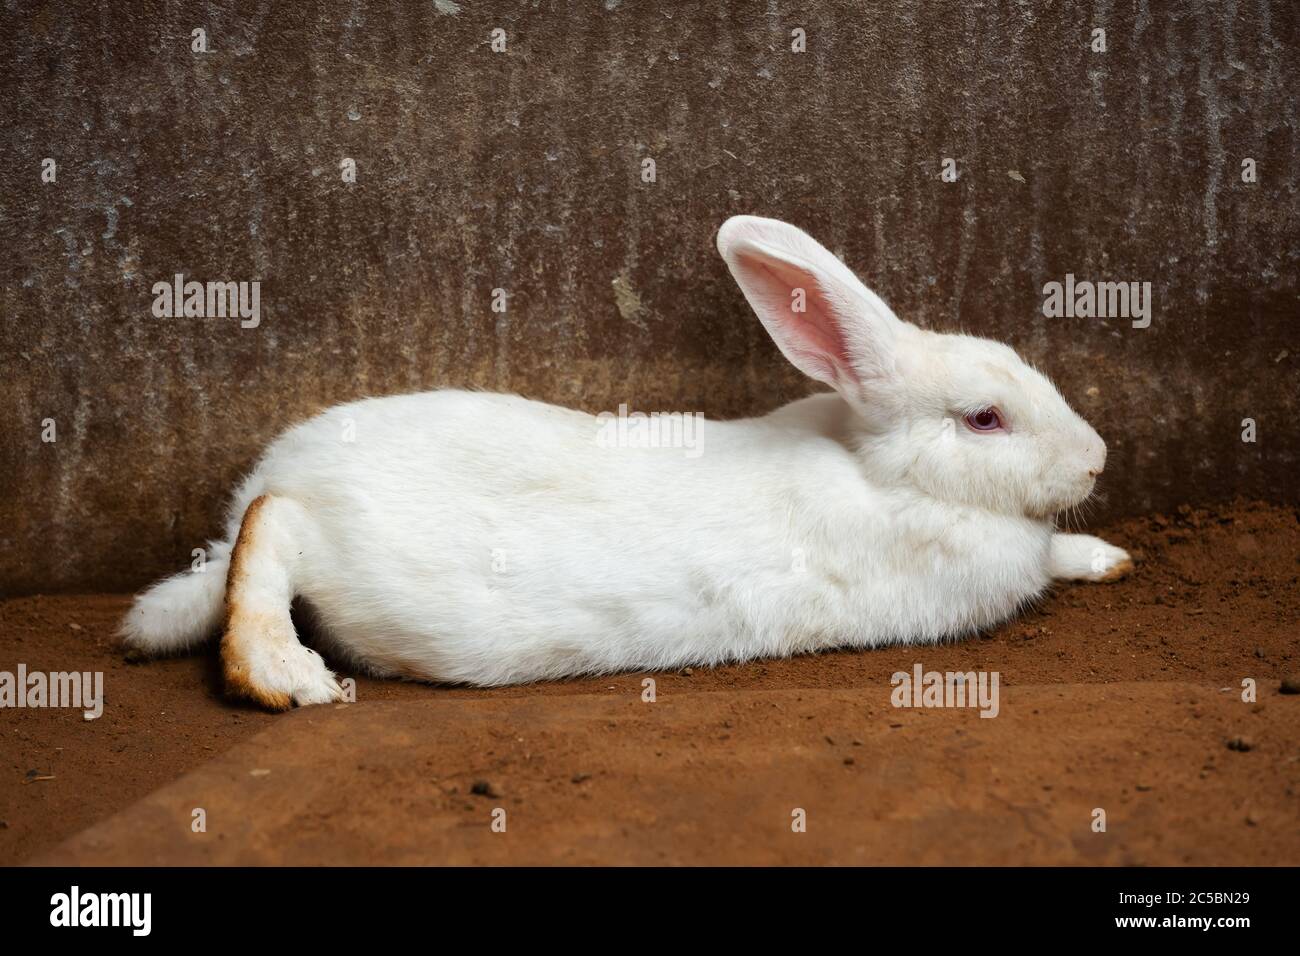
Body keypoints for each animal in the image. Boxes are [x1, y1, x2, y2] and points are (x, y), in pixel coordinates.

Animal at [121, 215, 1132, 709]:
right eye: (986, 419)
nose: (1096, 460)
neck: (882, 471)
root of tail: (272, 473)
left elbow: (1060, 550)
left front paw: (1111, 554)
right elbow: (1043, 554)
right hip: (310, 533)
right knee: (267, 541)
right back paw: (285, 678)